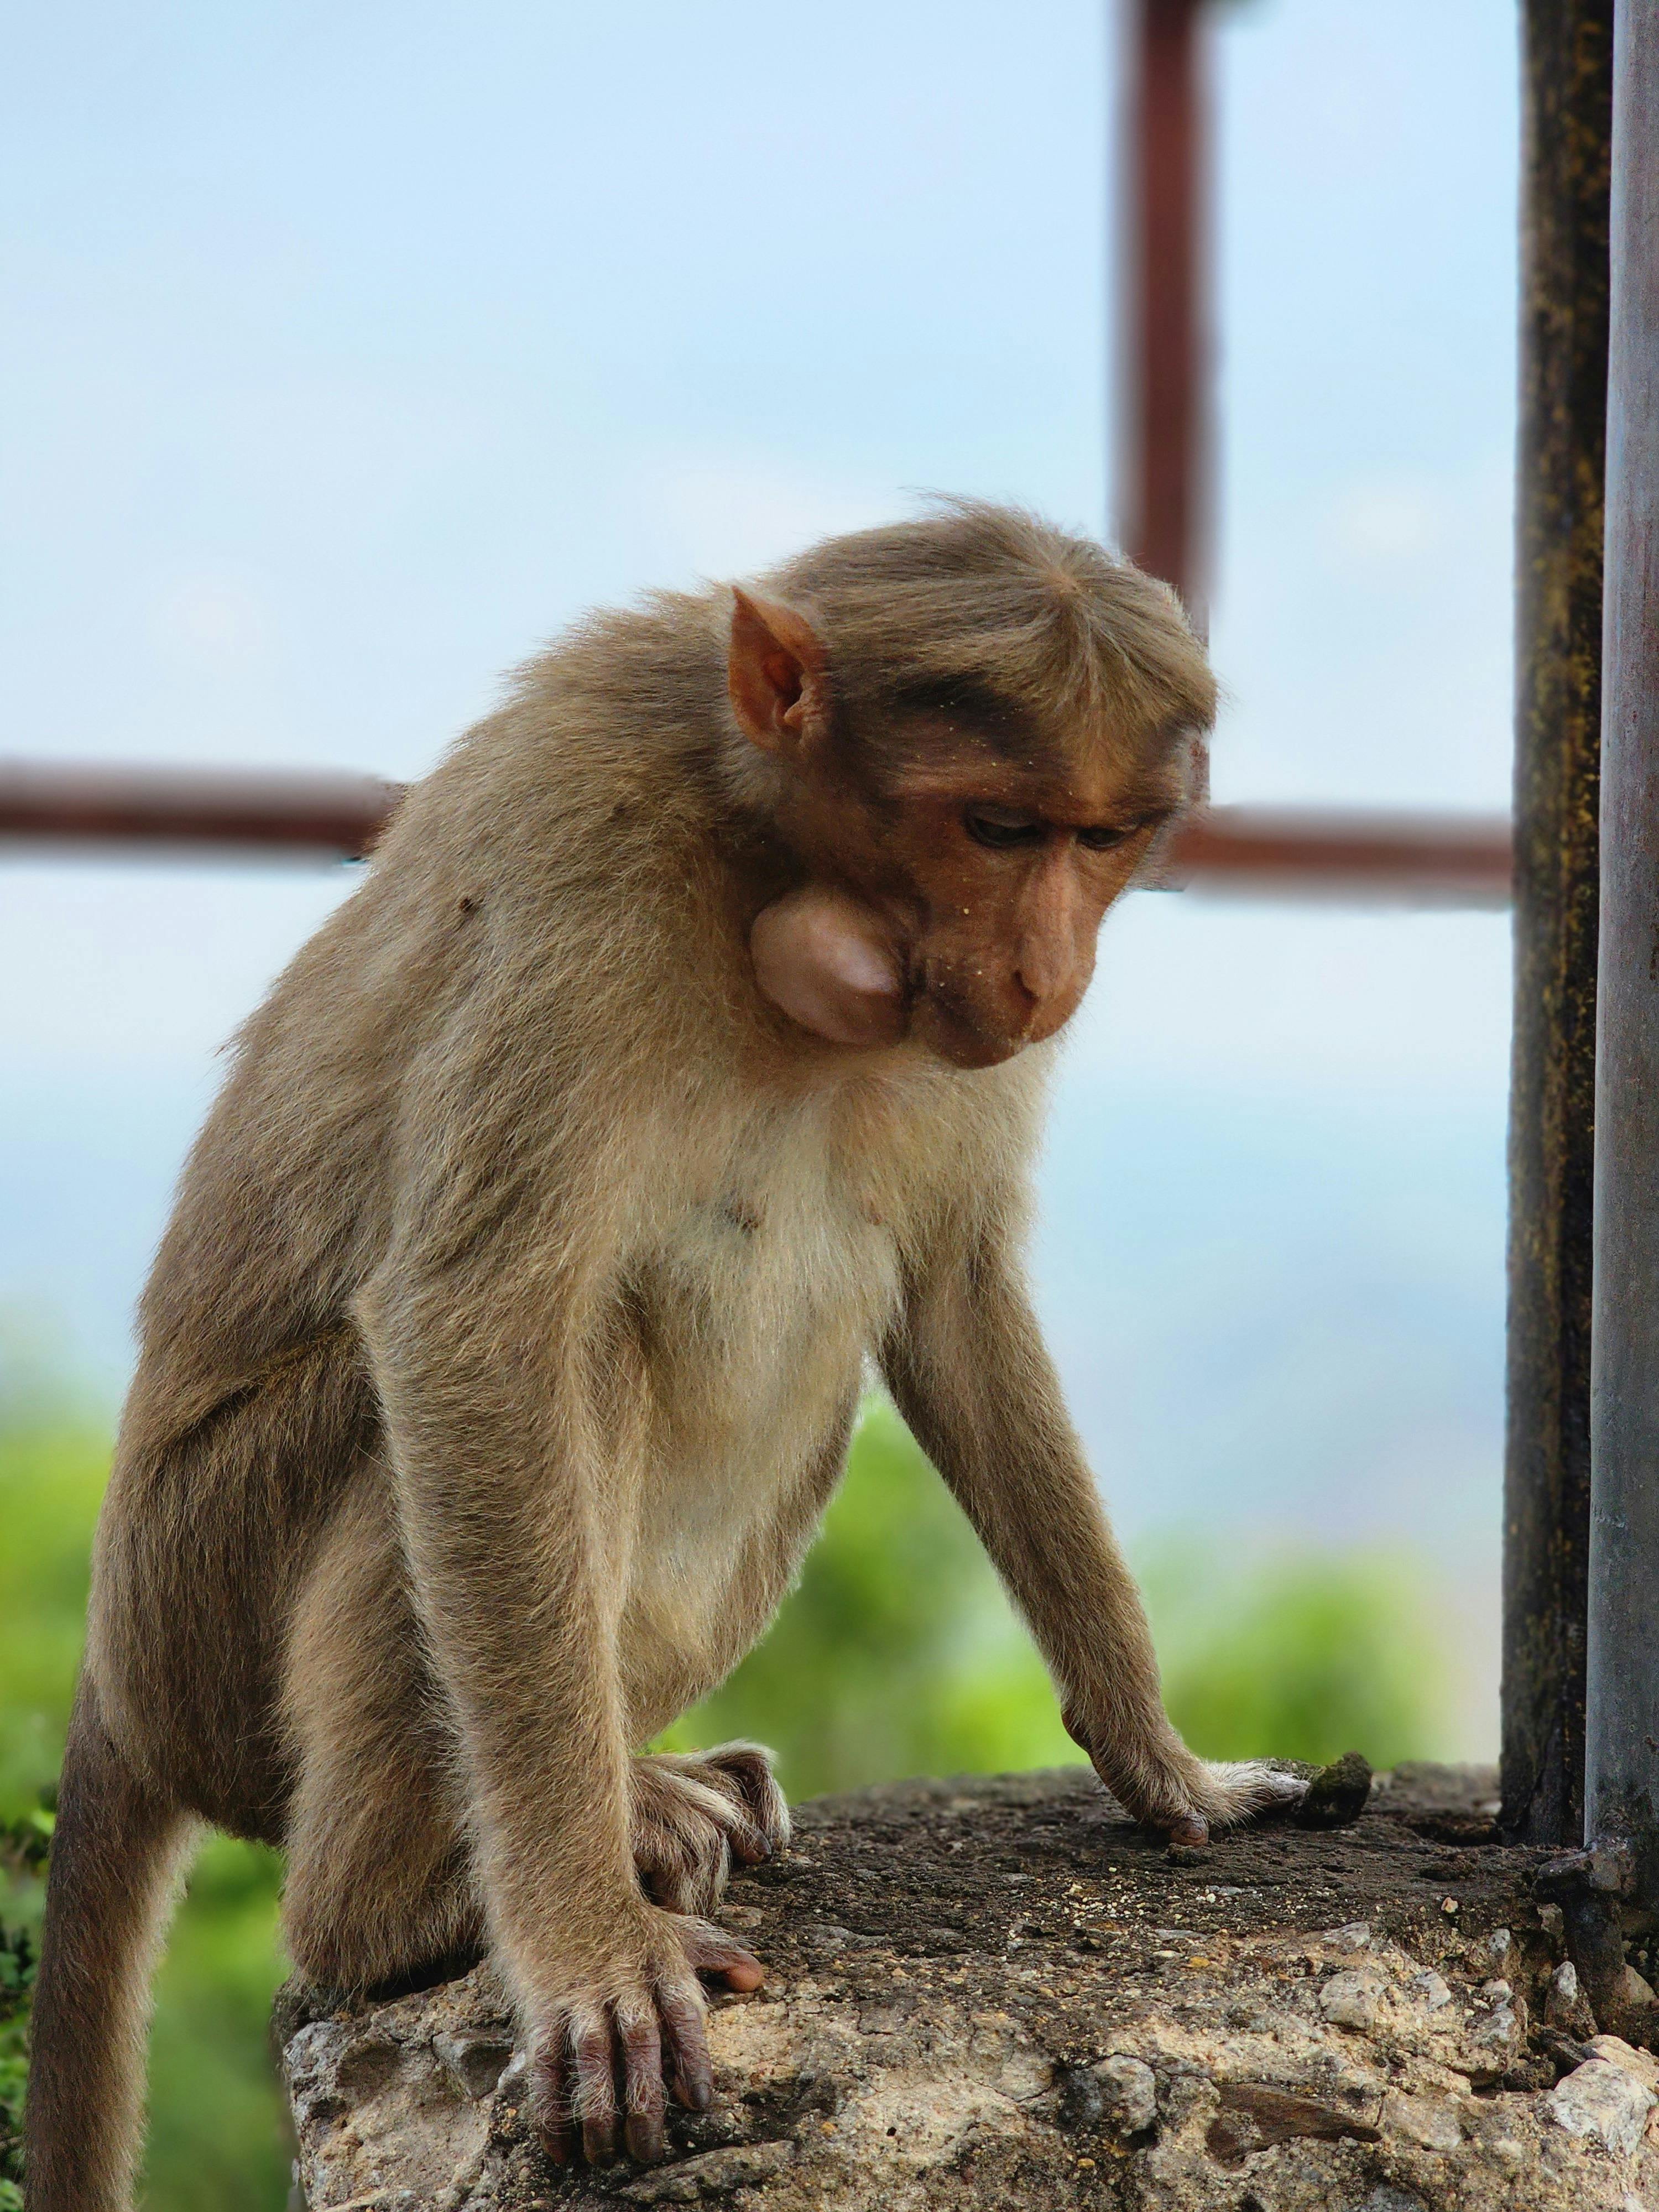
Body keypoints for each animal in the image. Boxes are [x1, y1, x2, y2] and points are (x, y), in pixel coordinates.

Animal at [24, 499, 1311, 2207]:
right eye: (995, 827)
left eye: (1099, 838)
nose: (1047, 973)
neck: (761, 848)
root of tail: (114, 1666)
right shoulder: (587, 859)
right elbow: (477, 1325)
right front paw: (582, 1952)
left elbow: (952, 1295)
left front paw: (1163, 1763)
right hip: (202, 1590)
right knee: (564, 1362)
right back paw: (403, 1903)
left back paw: (640, 1778)